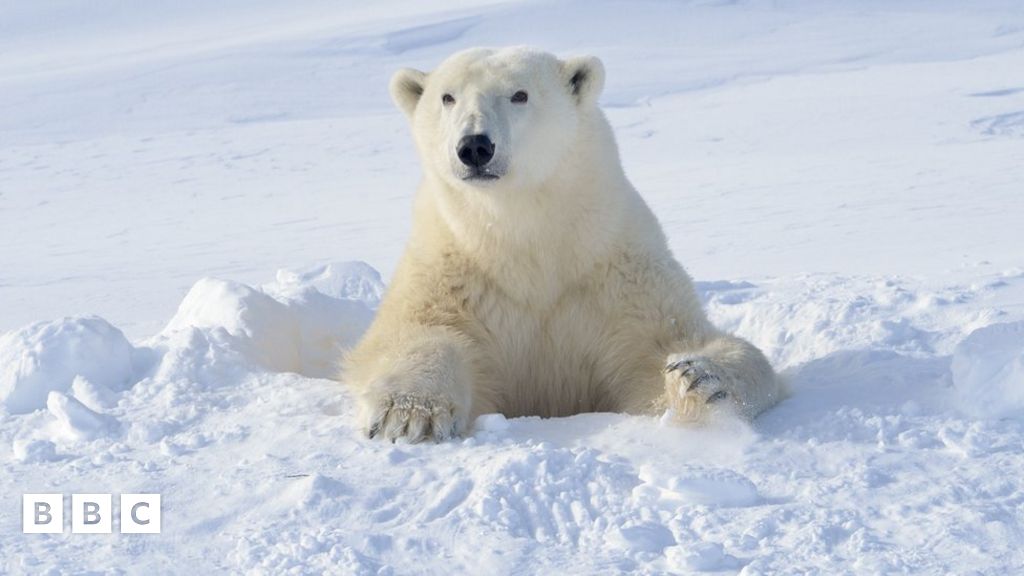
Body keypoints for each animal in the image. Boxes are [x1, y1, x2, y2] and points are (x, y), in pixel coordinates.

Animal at [343, 47, 784, 442]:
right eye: (447, 97)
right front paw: (406, 413)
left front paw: (699, 376)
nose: (475, 146)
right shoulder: (451, 268)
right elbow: (416, 332)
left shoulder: (618, 272)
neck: (524, 239)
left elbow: (665, 345)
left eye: (519, 94)